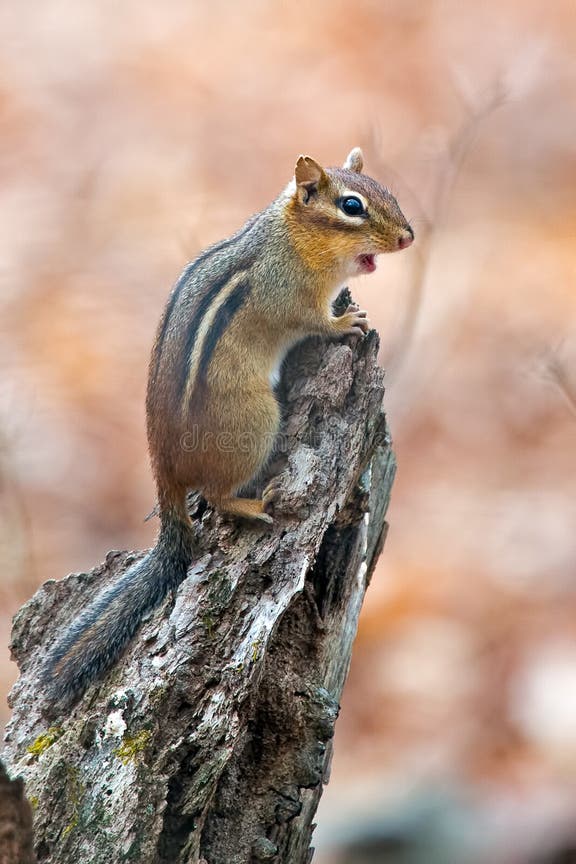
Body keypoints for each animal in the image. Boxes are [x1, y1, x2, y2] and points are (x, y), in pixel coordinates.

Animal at [41, 147, 413, 708]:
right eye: (352, 206)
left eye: (385, 190)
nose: (408, 237)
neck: (291, 238)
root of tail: (164, 469)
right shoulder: (293, 297)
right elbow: (315, 322)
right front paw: (346, 323)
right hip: (256, 421)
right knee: (217, 497)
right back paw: (256, 506)